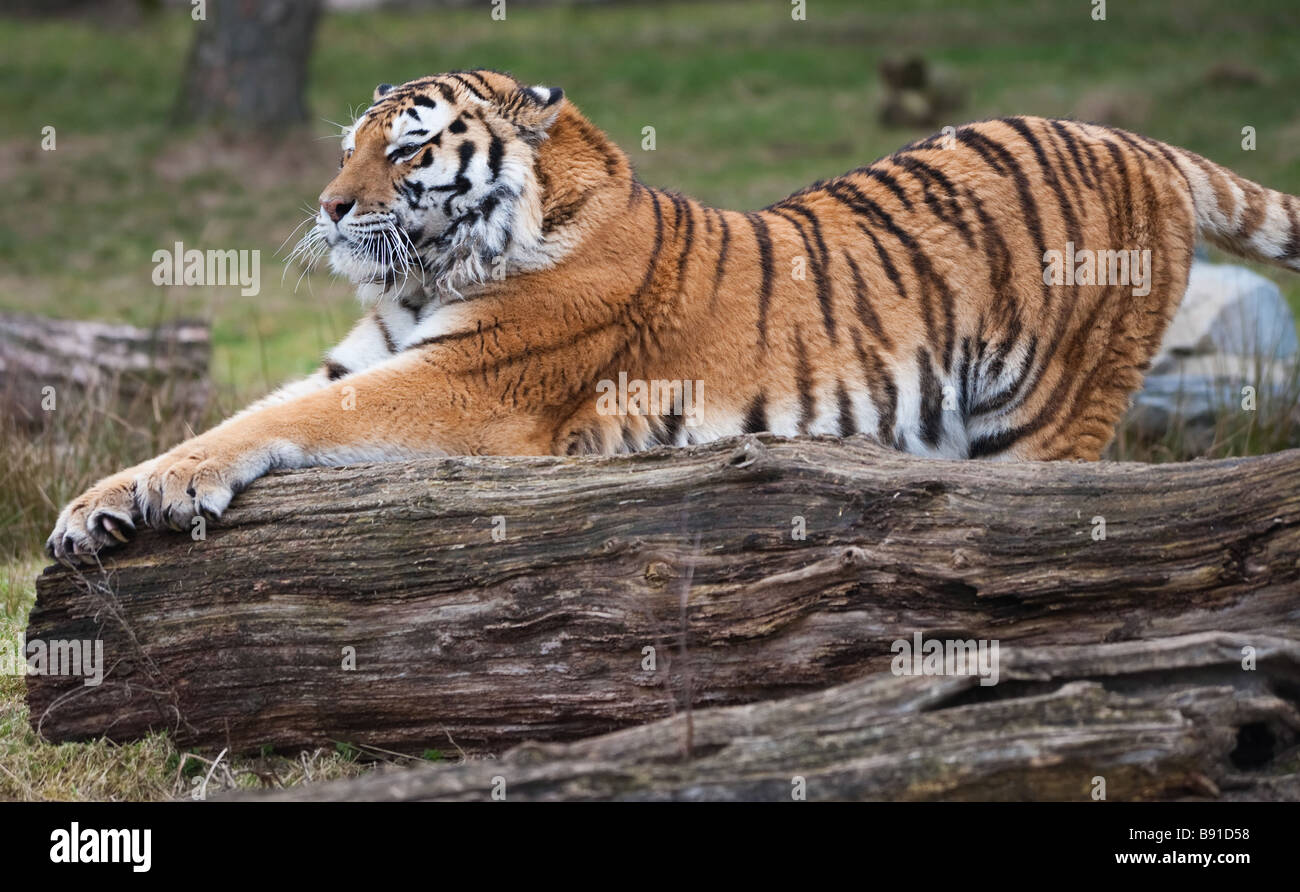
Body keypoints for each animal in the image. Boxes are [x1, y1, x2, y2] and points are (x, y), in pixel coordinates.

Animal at [47, 68, 1300, 563]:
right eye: (348, 140)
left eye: (401, 148)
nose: (328, 205)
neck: (429, 271)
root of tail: (1137, 142)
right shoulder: (366, 358)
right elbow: (243, 413)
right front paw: (98, 503)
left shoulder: (470, 384)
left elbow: (269, 424)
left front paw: (158, 492)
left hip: (1047, 410)